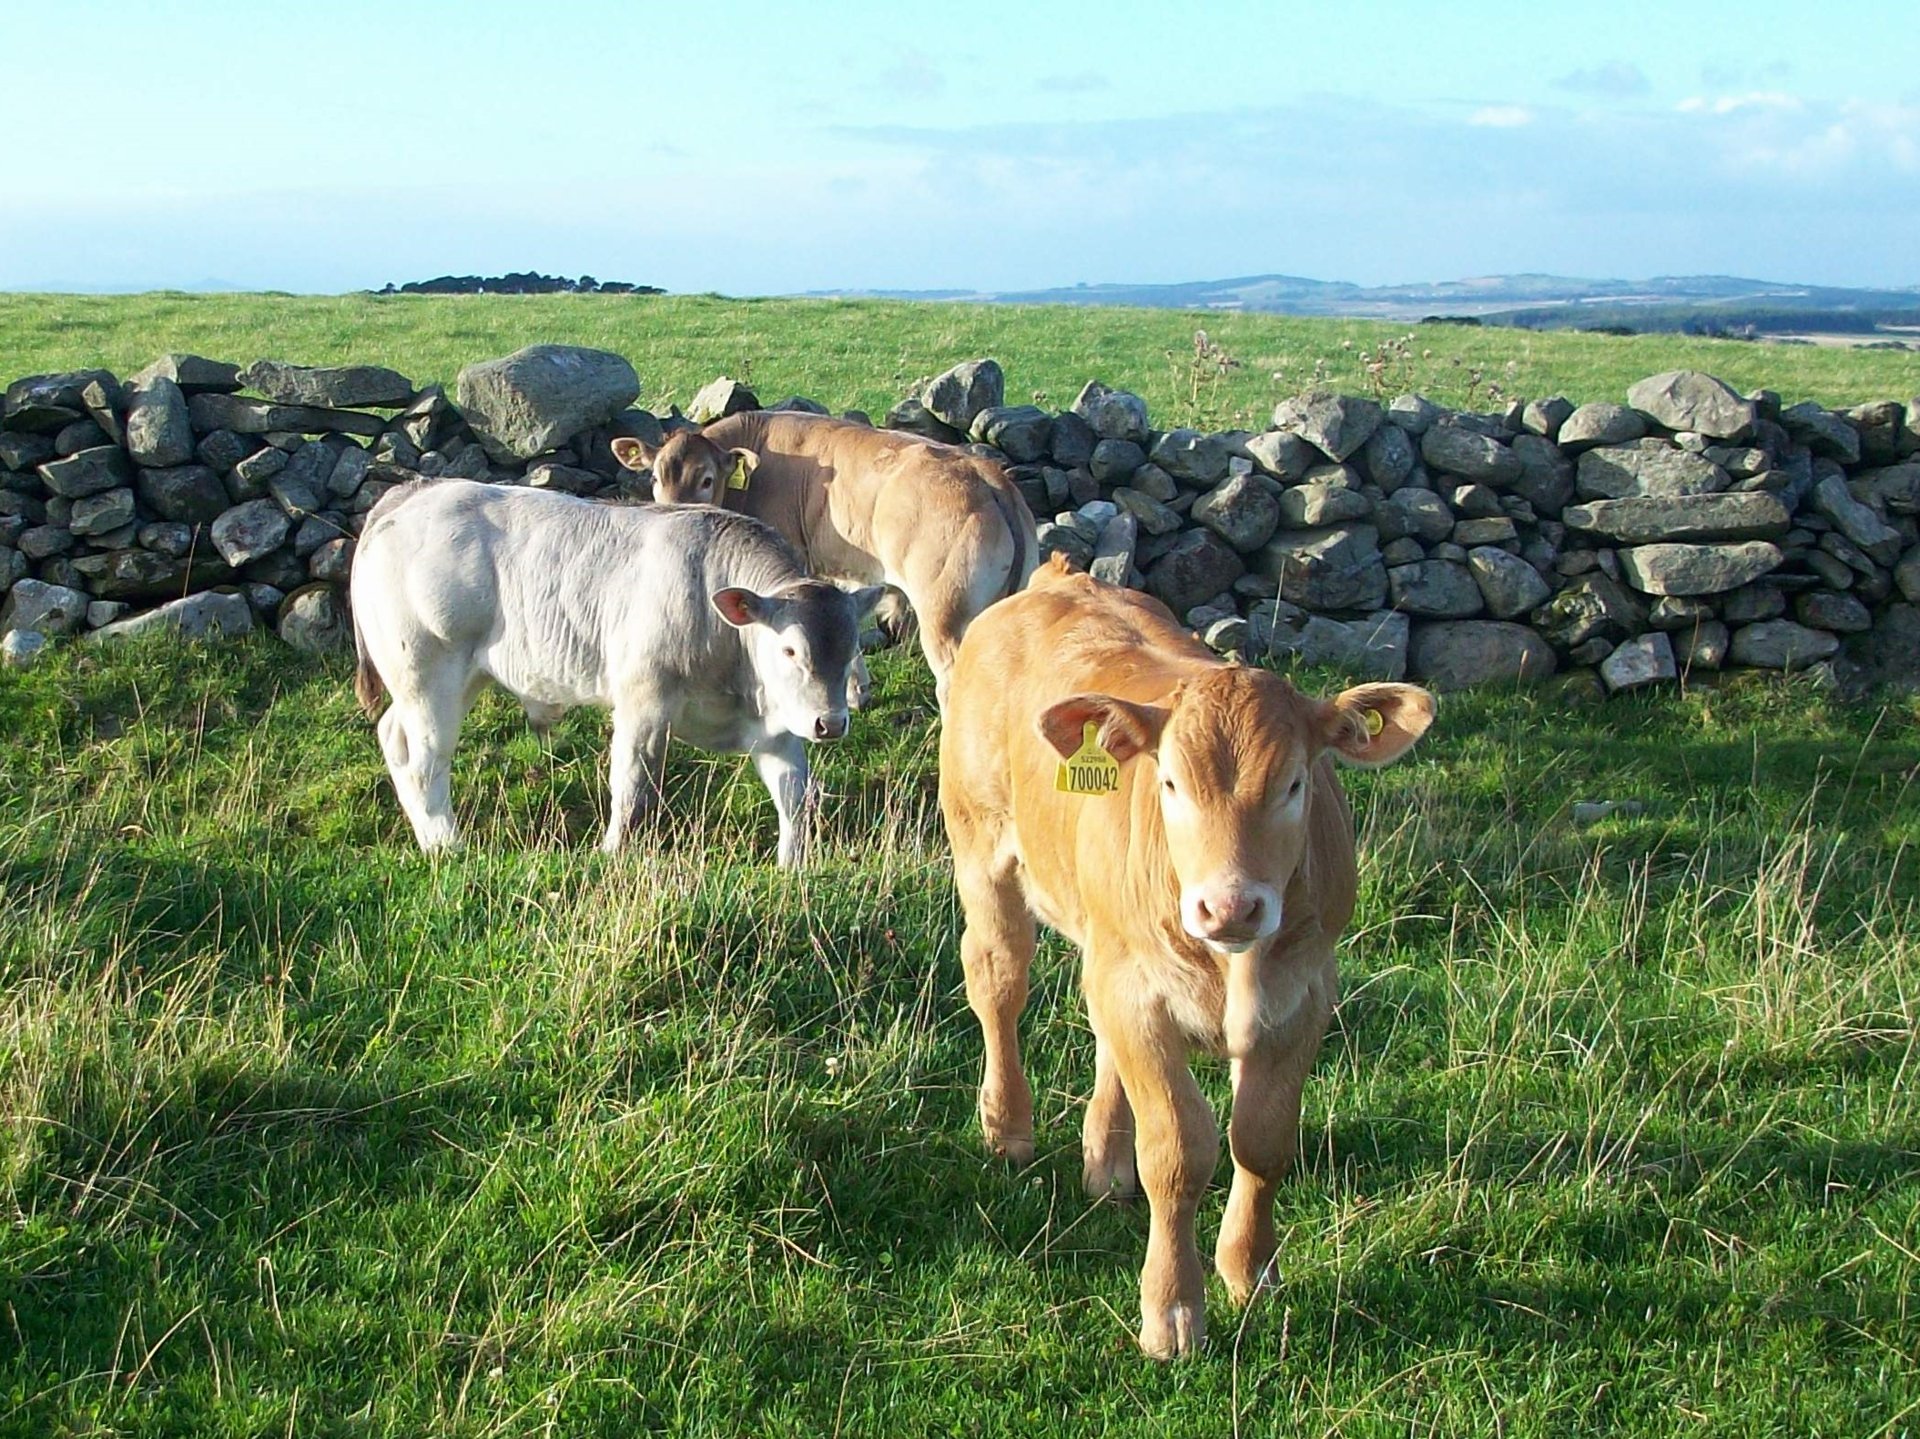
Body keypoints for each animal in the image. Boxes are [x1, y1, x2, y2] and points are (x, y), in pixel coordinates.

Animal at [350, 480, 882, 864]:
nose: (831, 723)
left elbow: (796, 797)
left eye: (853, 647)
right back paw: (446, 844)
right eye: (790, 649)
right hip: (427, 675)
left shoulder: (778, 724)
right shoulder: (643, 703)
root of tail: (414, 491)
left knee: (394, 738)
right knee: (424, 762)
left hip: (455, 680)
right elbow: (632, 787)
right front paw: (611, 853)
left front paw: (793, 866)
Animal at [937, 555, 1435, 1358]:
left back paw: (1105, 1159)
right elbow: (1176, 1149)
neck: (1236, 965)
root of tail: (1059, 579)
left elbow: (1262, 1138)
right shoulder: (1141, 993)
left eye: (1295, 783)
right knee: (998, 983)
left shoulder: (1304, 995)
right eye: (1170, 782)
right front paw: (1171, 1308)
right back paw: (1008, 1127)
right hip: (982, 853)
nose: (1229, 907)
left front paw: (1250, 1269)